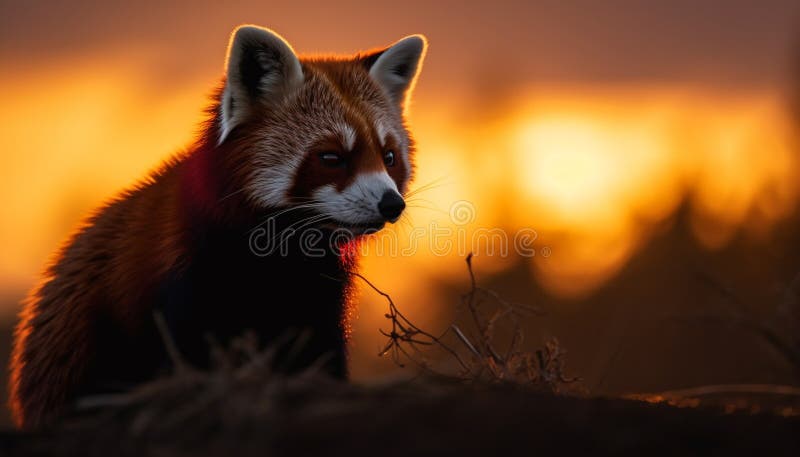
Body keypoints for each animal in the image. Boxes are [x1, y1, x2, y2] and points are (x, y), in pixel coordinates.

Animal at [9, 25, 427, 429]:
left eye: (389, 157)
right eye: (332, 157)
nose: (391, 204)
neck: (284, 253)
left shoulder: (320, 295)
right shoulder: (185, 273)